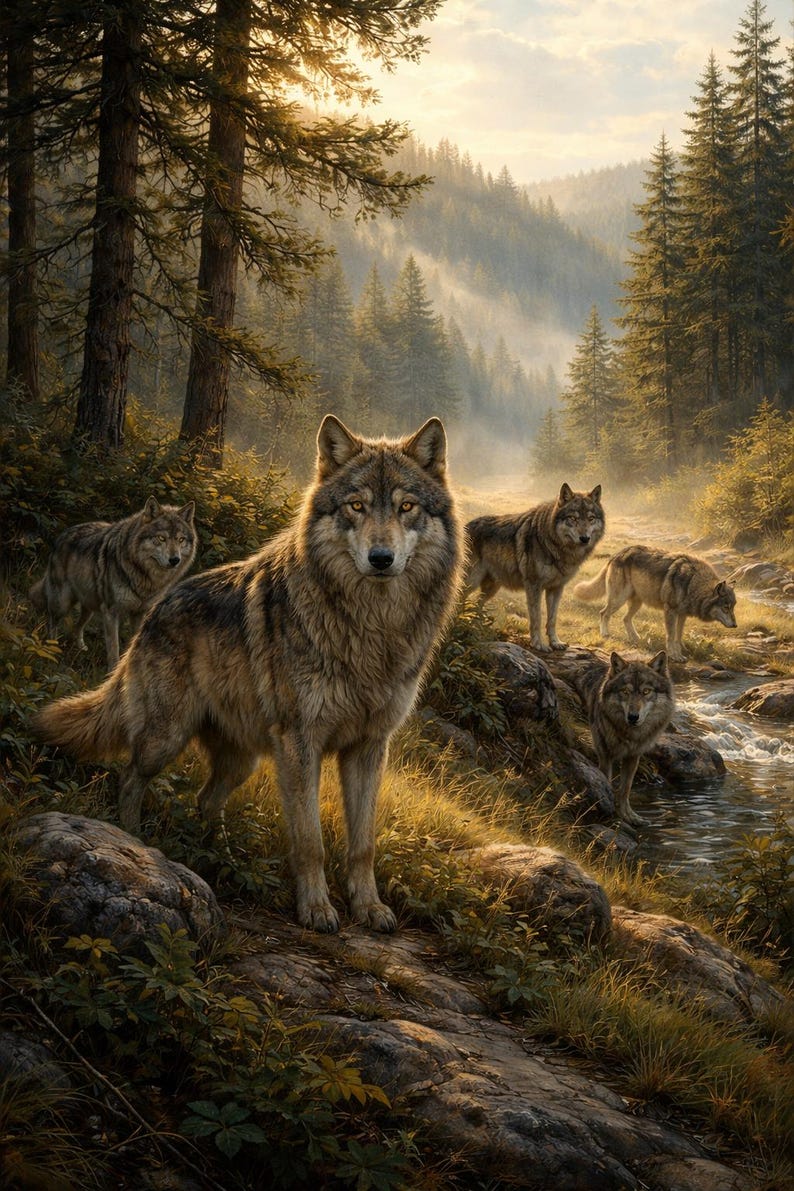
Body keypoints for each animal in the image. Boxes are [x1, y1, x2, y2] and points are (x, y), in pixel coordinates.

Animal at [29, 497, 197, 671]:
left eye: (181, 539)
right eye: (162, 538)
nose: (175, 560)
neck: (145, 577)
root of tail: (63, 534)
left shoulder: (140, 613)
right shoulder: (111, 612)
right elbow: (114, 649)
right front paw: (112, 672)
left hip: (89, 607)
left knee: (77, 627)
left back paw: (80, 647)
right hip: (62, 604)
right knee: (51, 621)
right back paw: (50, 649)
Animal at [465, 483, 604, 652]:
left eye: (591, 519)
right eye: (573, 518)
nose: (585, 539)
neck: (555, 546)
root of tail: (465, 526)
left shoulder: (556, 588)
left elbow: (552, 618)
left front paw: (555, 642)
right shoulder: (534, 586)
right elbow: (537, 617)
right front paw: (539, 644)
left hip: (491, 588)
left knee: (476, 605)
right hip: (471, 582)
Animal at [573, 545, 737, 663]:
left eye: (733, 607)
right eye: (726, 607)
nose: (735, 625)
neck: (692, 582)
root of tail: (617, 554)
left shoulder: (682, 614)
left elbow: (679, 634)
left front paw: (682, 649)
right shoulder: (670, 611)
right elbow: (671, 636)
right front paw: (675, 656)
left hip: (637, 603)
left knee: (625, 618)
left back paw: (635, 638)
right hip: (619, 599)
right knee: (603, 613)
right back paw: (605, 634)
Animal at [580, 651, 675, 826]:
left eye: (646, 691)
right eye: (625, 691)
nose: (632, 717)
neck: (628, 733)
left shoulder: (633, 756)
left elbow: (625, 789)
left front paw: (629, 816)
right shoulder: (605, 754)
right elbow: (607, 782)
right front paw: (611, 815)